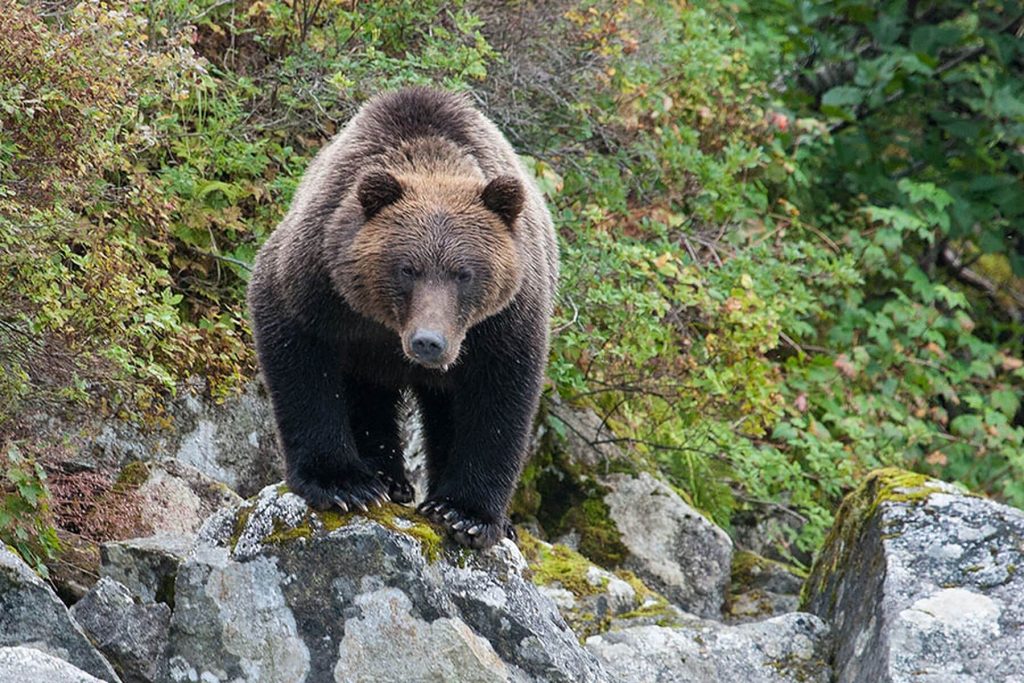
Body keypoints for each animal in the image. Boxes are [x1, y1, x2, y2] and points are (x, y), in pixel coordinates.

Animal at [247, 87, 558, 549]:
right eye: (407, 268)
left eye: (464, 273)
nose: (429, 341)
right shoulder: (319, 278)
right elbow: (300, 357)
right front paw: (342, 483)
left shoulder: (504, 320)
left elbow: (499, 398)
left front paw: (466, 513)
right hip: (363, 355)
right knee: (368, 394)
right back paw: (385, 478)